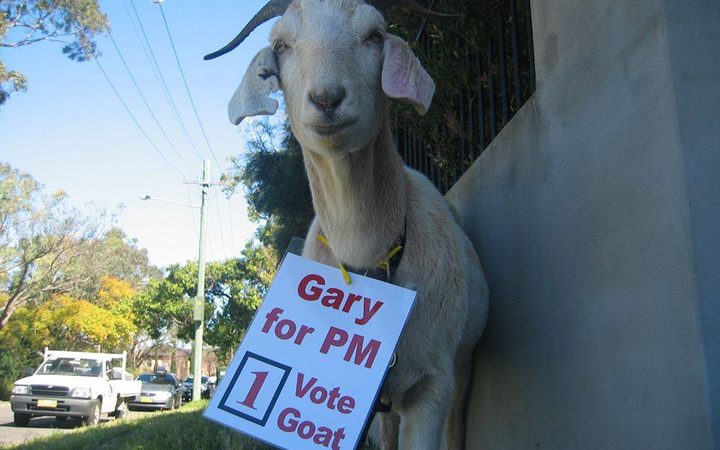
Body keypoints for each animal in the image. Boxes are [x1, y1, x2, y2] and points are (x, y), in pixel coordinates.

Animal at [207, 1, 489, 448]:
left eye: (375, 36)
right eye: (281, 46)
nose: (327, 98)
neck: (367, 255)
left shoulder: (432, 382)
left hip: (464, 358)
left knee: (456, 420)